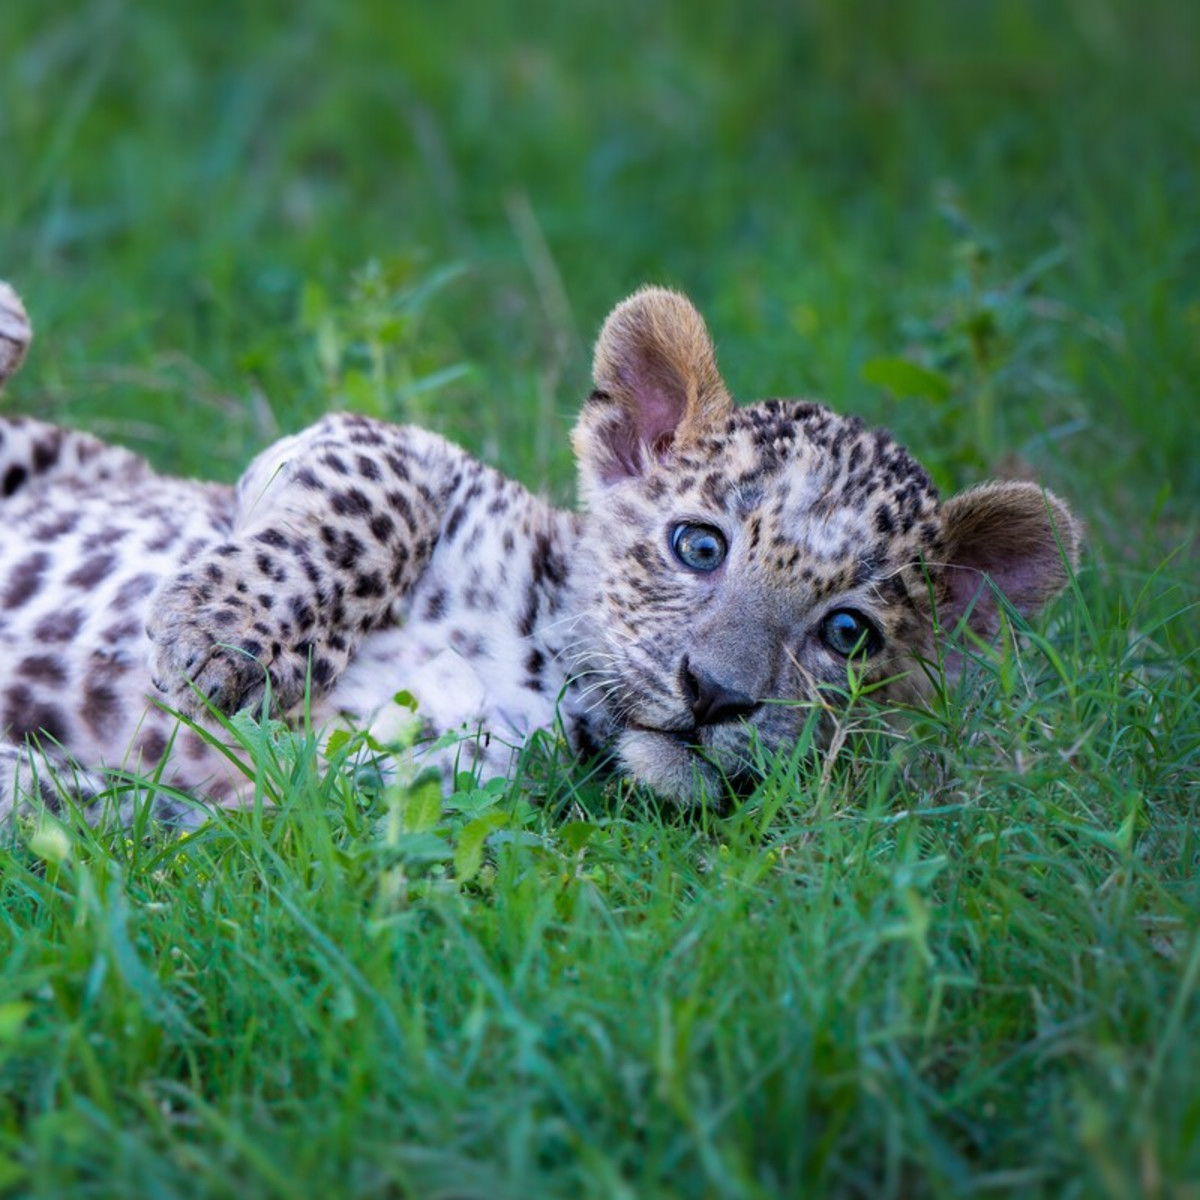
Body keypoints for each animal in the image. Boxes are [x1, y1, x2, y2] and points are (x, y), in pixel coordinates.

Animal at [0, 277, 1080, 825]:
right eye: (698, 545)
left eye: (847, 635)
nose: (715, 695)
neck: (539, 672)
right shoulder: (365, 443)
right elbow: (369, 498)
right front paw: (220, 640)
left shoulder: (346, 799)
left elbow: (113, 805)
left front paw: (39, 784)